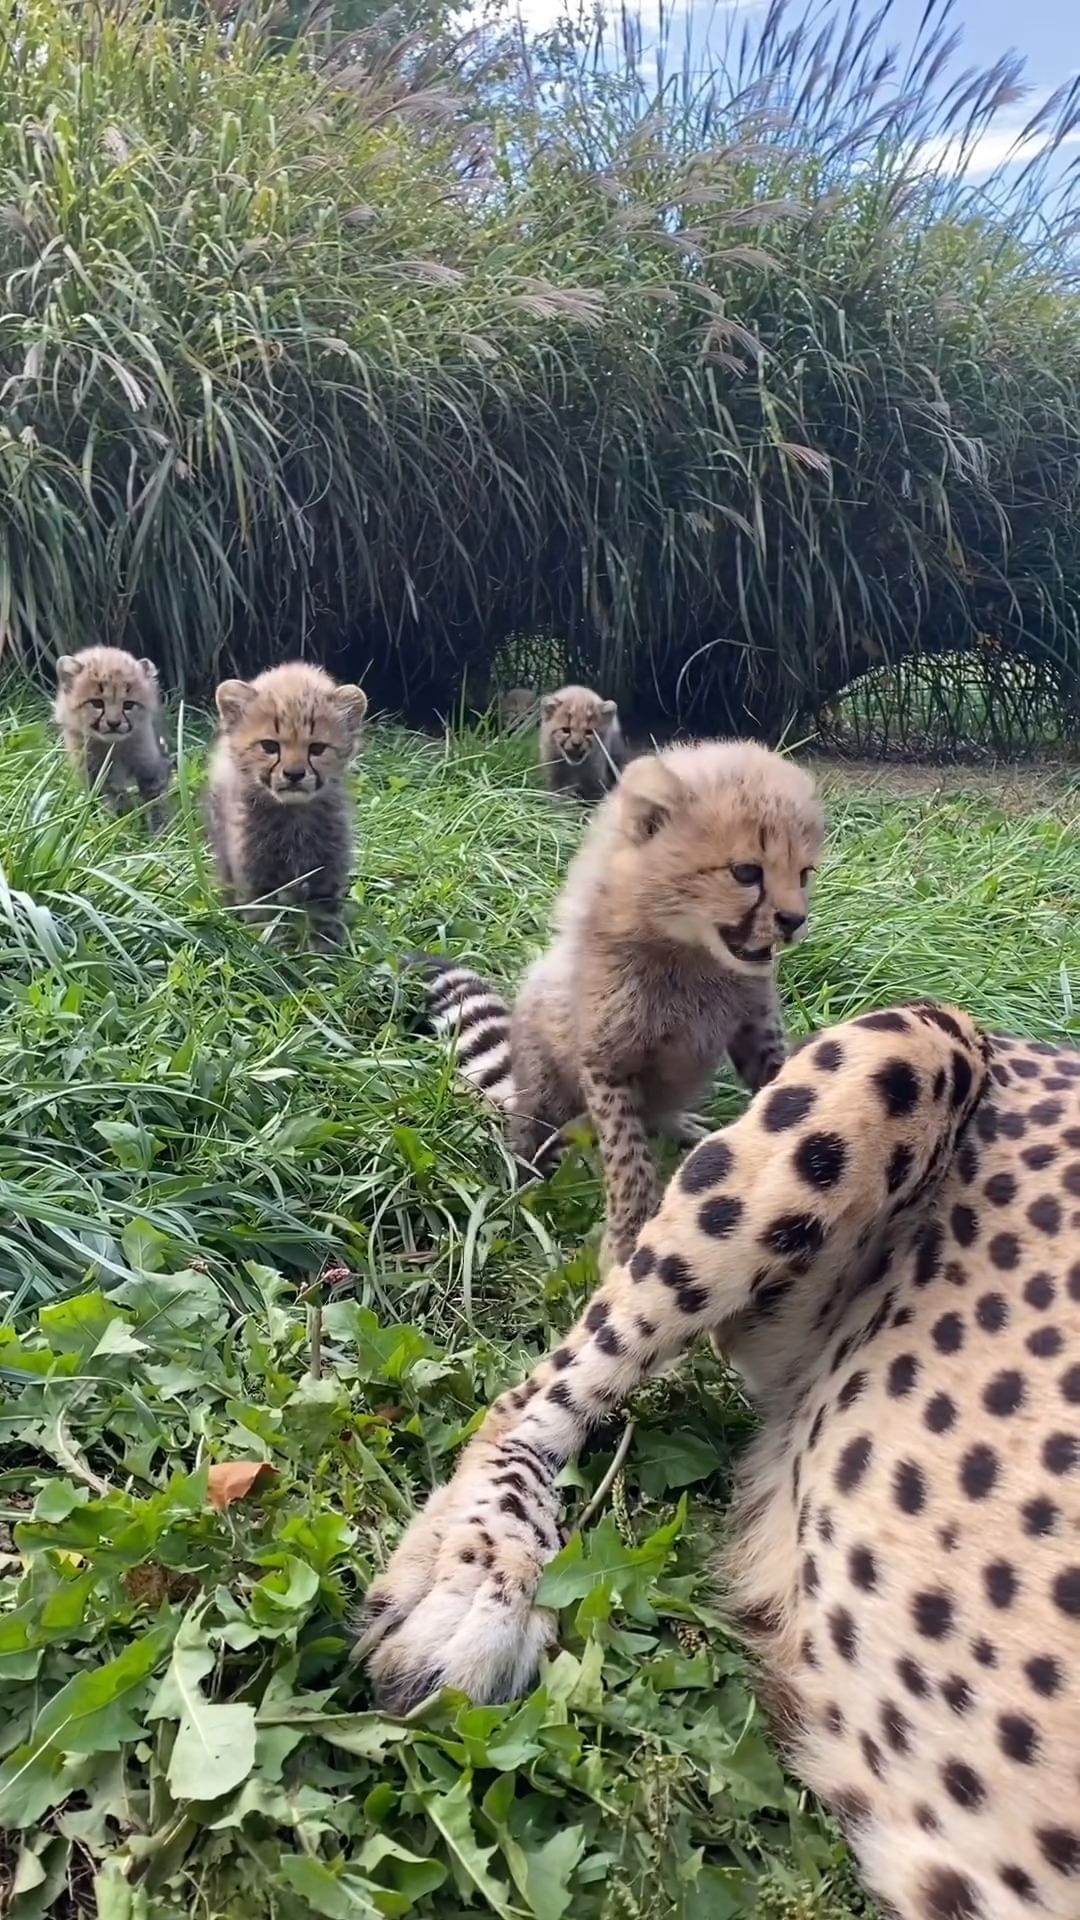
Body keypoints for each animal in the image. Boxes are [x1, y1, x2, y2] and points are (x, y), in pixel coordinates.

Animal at [53, 646, 170, 828]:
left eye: (128, 704)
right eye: (96, 703)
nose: (113, 723)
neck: (112, 746)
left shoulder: (150, 769)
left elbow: (155, 802)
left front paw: (162, 829)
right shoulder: (97, 778)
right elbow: (112, 803)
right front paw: (117, 826)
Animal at [207, 661, 367, 949]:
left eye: (317, 748)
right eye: (269, 746)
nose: (294, 774)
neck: (294, 816)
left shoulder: (326, 872)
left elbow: (325, 921)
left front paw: (326, 956)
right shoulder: (256, 876)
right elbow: (265, 922)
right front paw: (270, 954)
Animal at [418, 740, 823, 1268]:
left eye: (805, 873)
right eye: (746, 872)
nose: (794, 920)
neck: (688, 955)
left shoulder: (753, 1027)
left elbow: (780, 1081)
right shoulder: (607, 1064)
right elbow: (628, 1159)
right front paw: (625, 1242)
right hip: (543, 1091)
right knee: (533, 1136)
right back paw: (527, 1180)